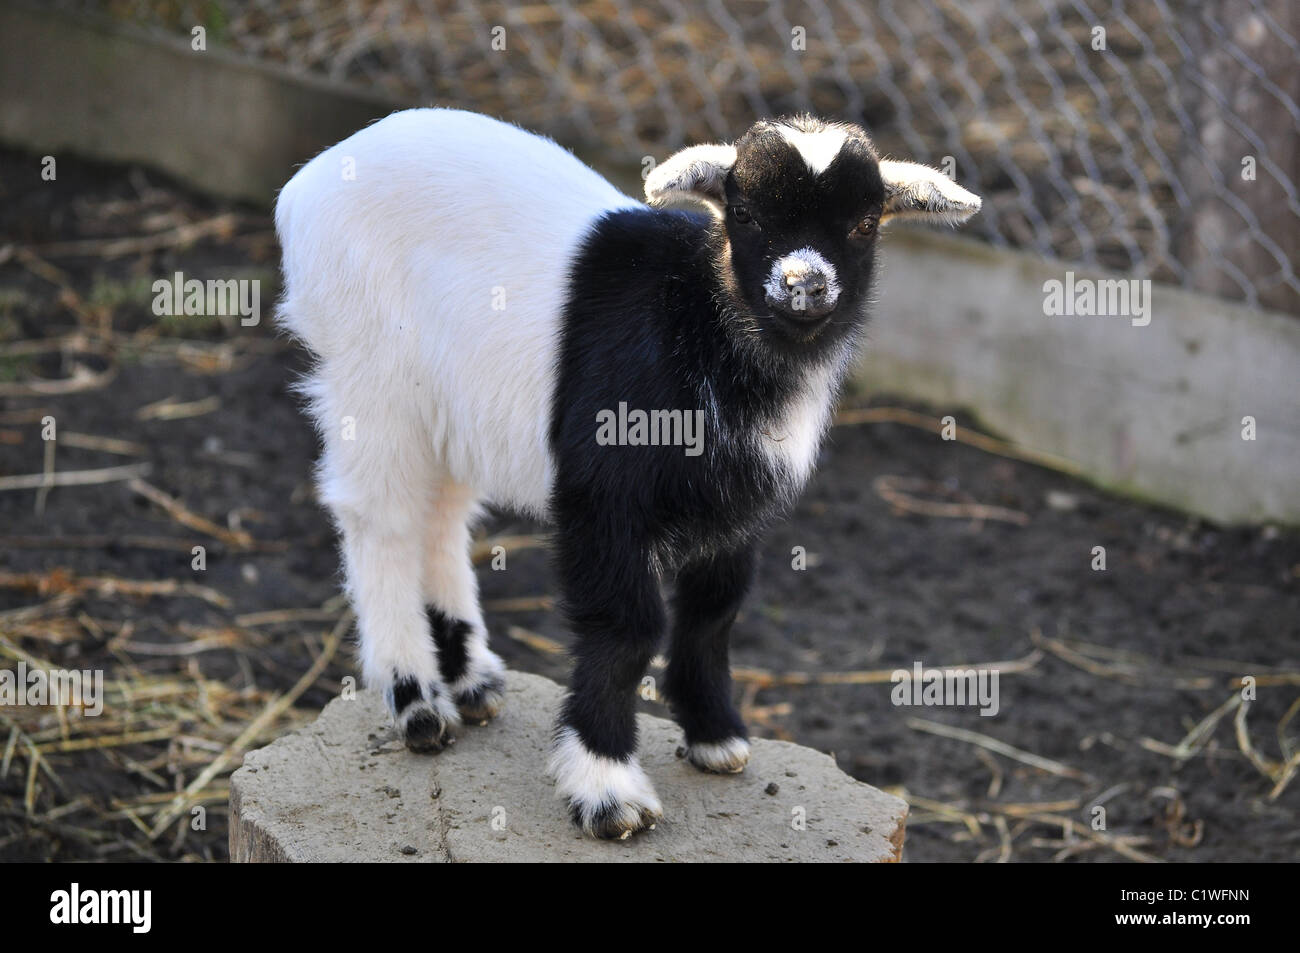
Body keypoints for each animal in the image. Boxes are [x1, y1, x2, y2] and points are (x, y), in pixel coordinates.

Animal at [275, 109, 981, 839]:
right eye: (745, 213)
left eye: (865, 223)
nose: (804, 284)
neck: (697, 318)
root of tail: (308, 182)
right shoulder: (602, 495)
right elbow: (627, 628)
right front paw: (607, 787)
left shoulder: (735, 507)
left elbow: (714, 611)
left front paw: (714, 735)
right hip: (368, 374)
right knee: (381, 521)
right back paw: (416, 703)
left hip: (452, 404)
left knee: (439, 518)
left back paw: (472, 680)